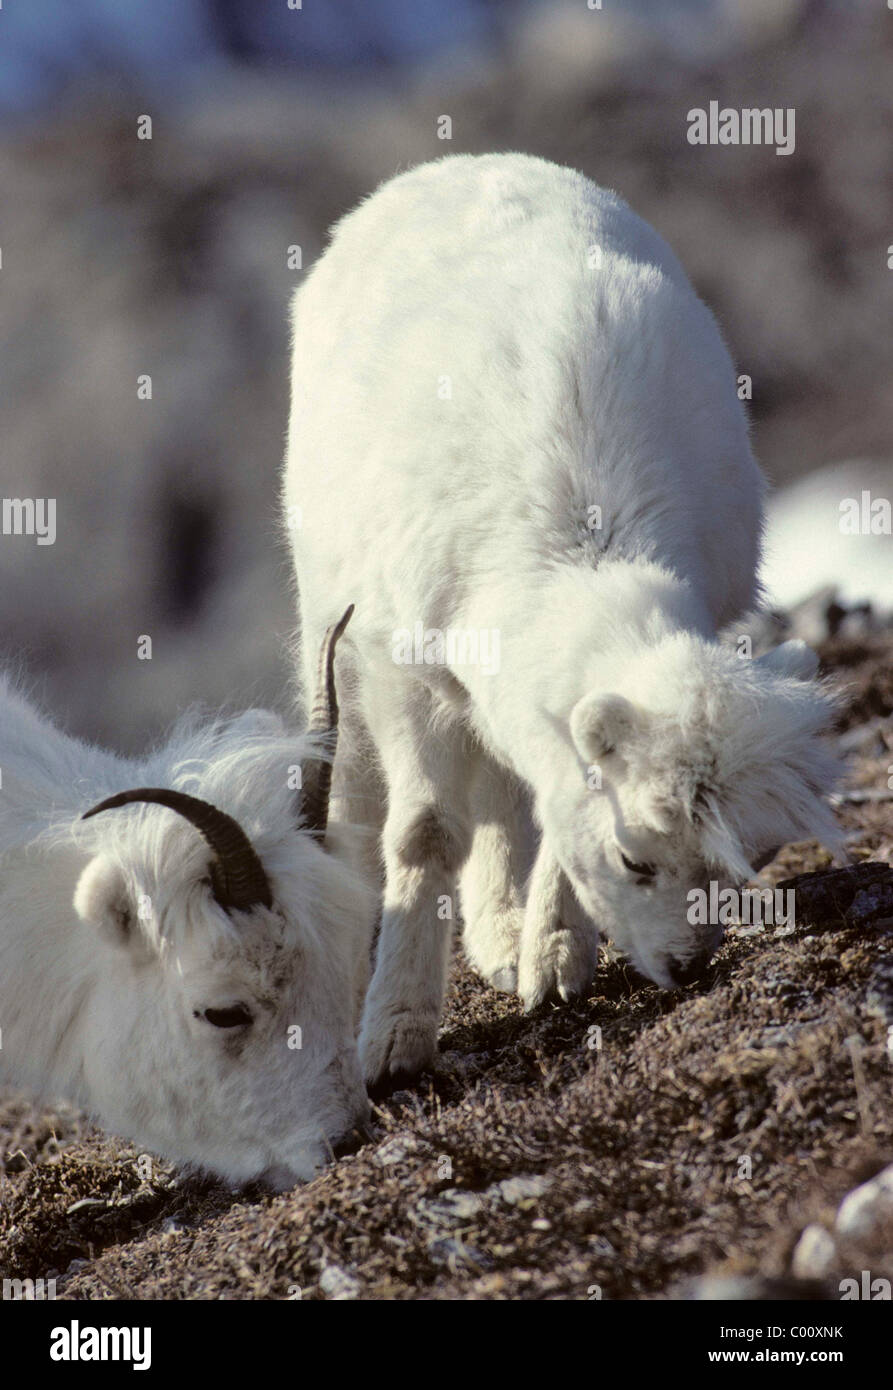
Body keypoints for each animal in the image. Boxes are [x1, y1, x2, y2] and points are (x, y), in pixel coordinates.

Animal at [283, 153, 841, 1088]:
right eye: (633, 860)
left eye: (747, 858)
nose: (686, 967)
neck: (584, 538)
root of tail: (464, 161)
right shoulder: (405, 673)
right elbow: (424, 834)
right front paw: (395, 1039)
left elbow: (548, 804)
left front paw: (551, 957)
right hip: (332, 630)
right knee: (363, 792)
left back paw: (507, 940)